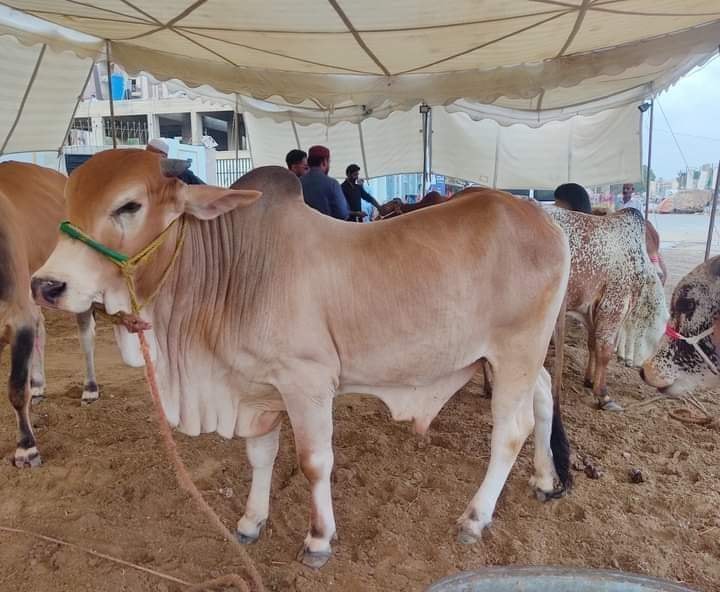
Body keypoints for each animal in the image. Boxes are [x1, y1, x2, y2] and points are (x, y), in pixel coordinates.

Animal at [0, 162, 99, 468]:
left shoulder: (17, 316)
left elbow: (15, 388)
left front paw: (27, 448)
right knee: (41, 327)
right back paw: (39, 385)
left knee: (85, 334)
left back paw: (90, 389)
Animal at [31, 149, 571, 567]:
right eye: (68, 202)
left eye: (129, 204)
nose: (46, 285)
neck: (237, 267)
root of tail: (543, 219)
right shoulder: (255, 388)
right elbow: (260, 454)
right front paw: (251, 521)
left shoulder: (307, 382)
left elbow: (314, 461)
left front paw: (318, 539)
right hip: (517, 357)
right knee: (544, 395)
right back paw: (546, 479)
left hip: (514, 351)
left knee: (510, 431)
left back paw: (475, 518)